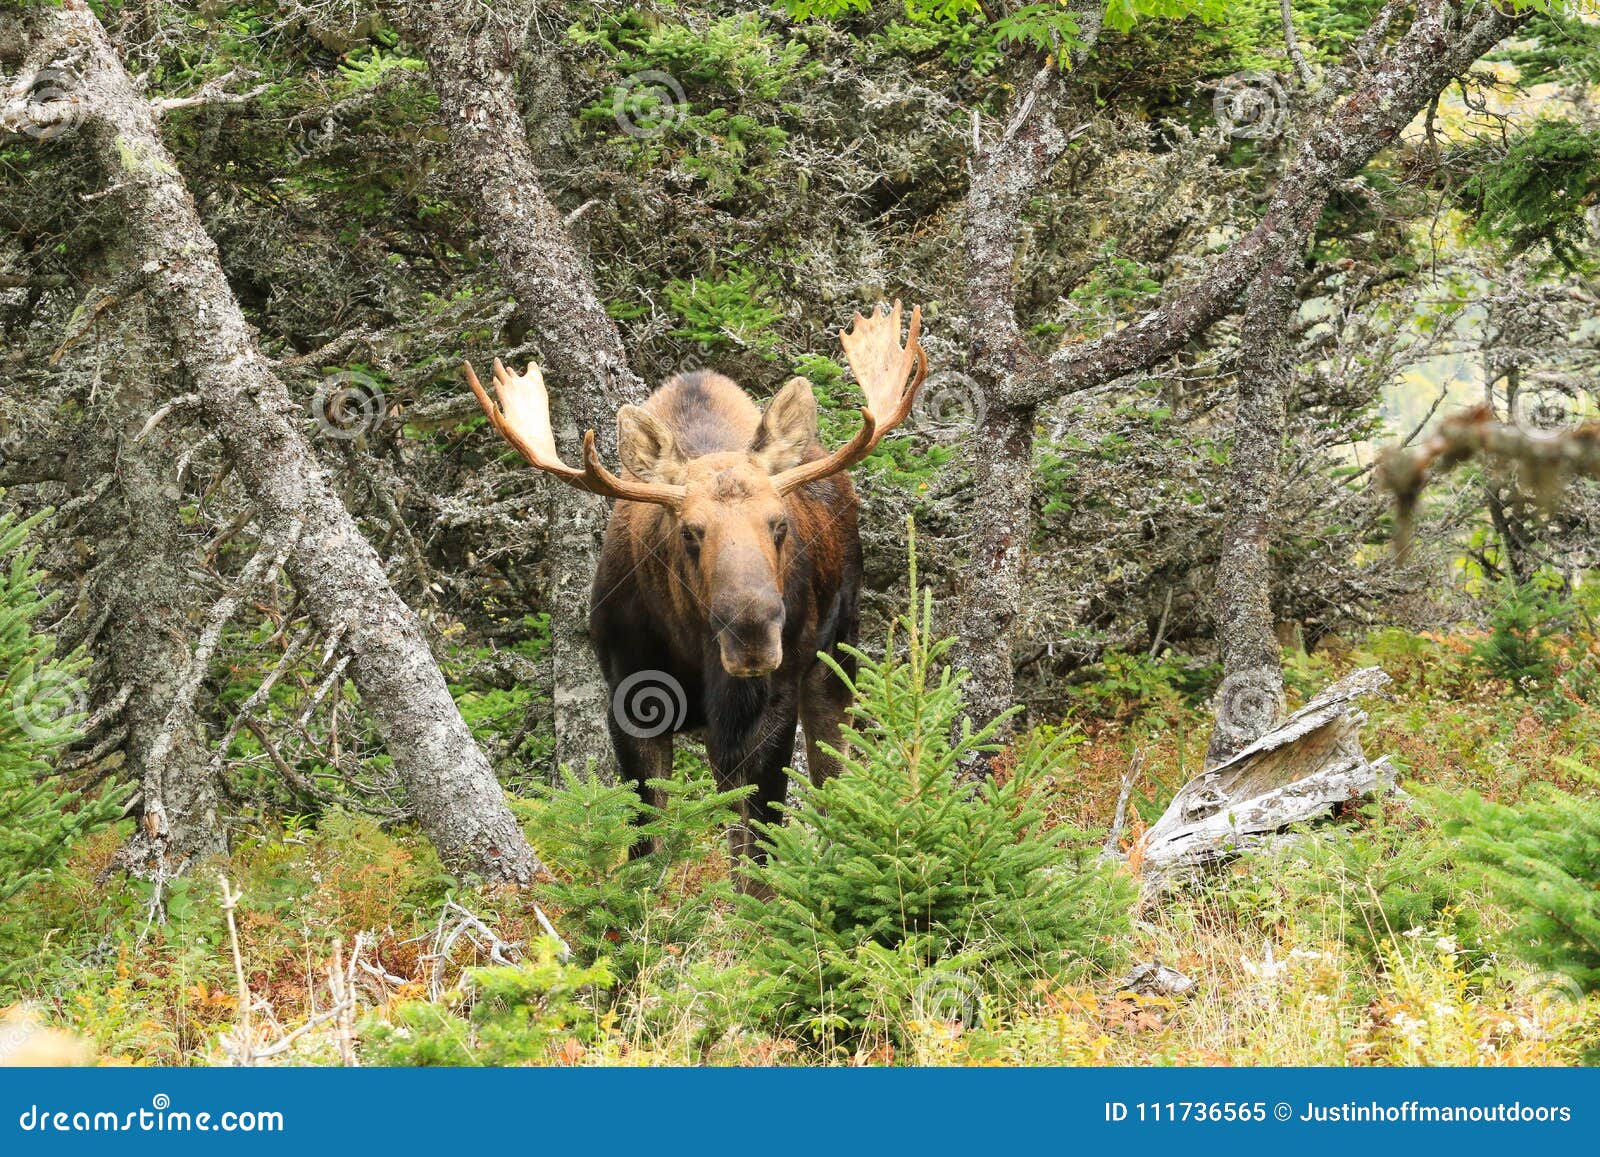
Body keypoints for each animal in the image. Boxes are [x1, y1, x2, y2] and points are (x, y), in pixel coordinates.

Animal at [463, 303, 927, 876]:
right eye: (689, 531)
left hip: (838, 651)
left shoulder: (772, 700)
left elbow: (759, 851)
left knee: (832, 774)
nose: (752, 632)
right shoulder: (629, 695)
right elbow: (646, 843)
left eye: (779, 524)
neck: (690, 645)